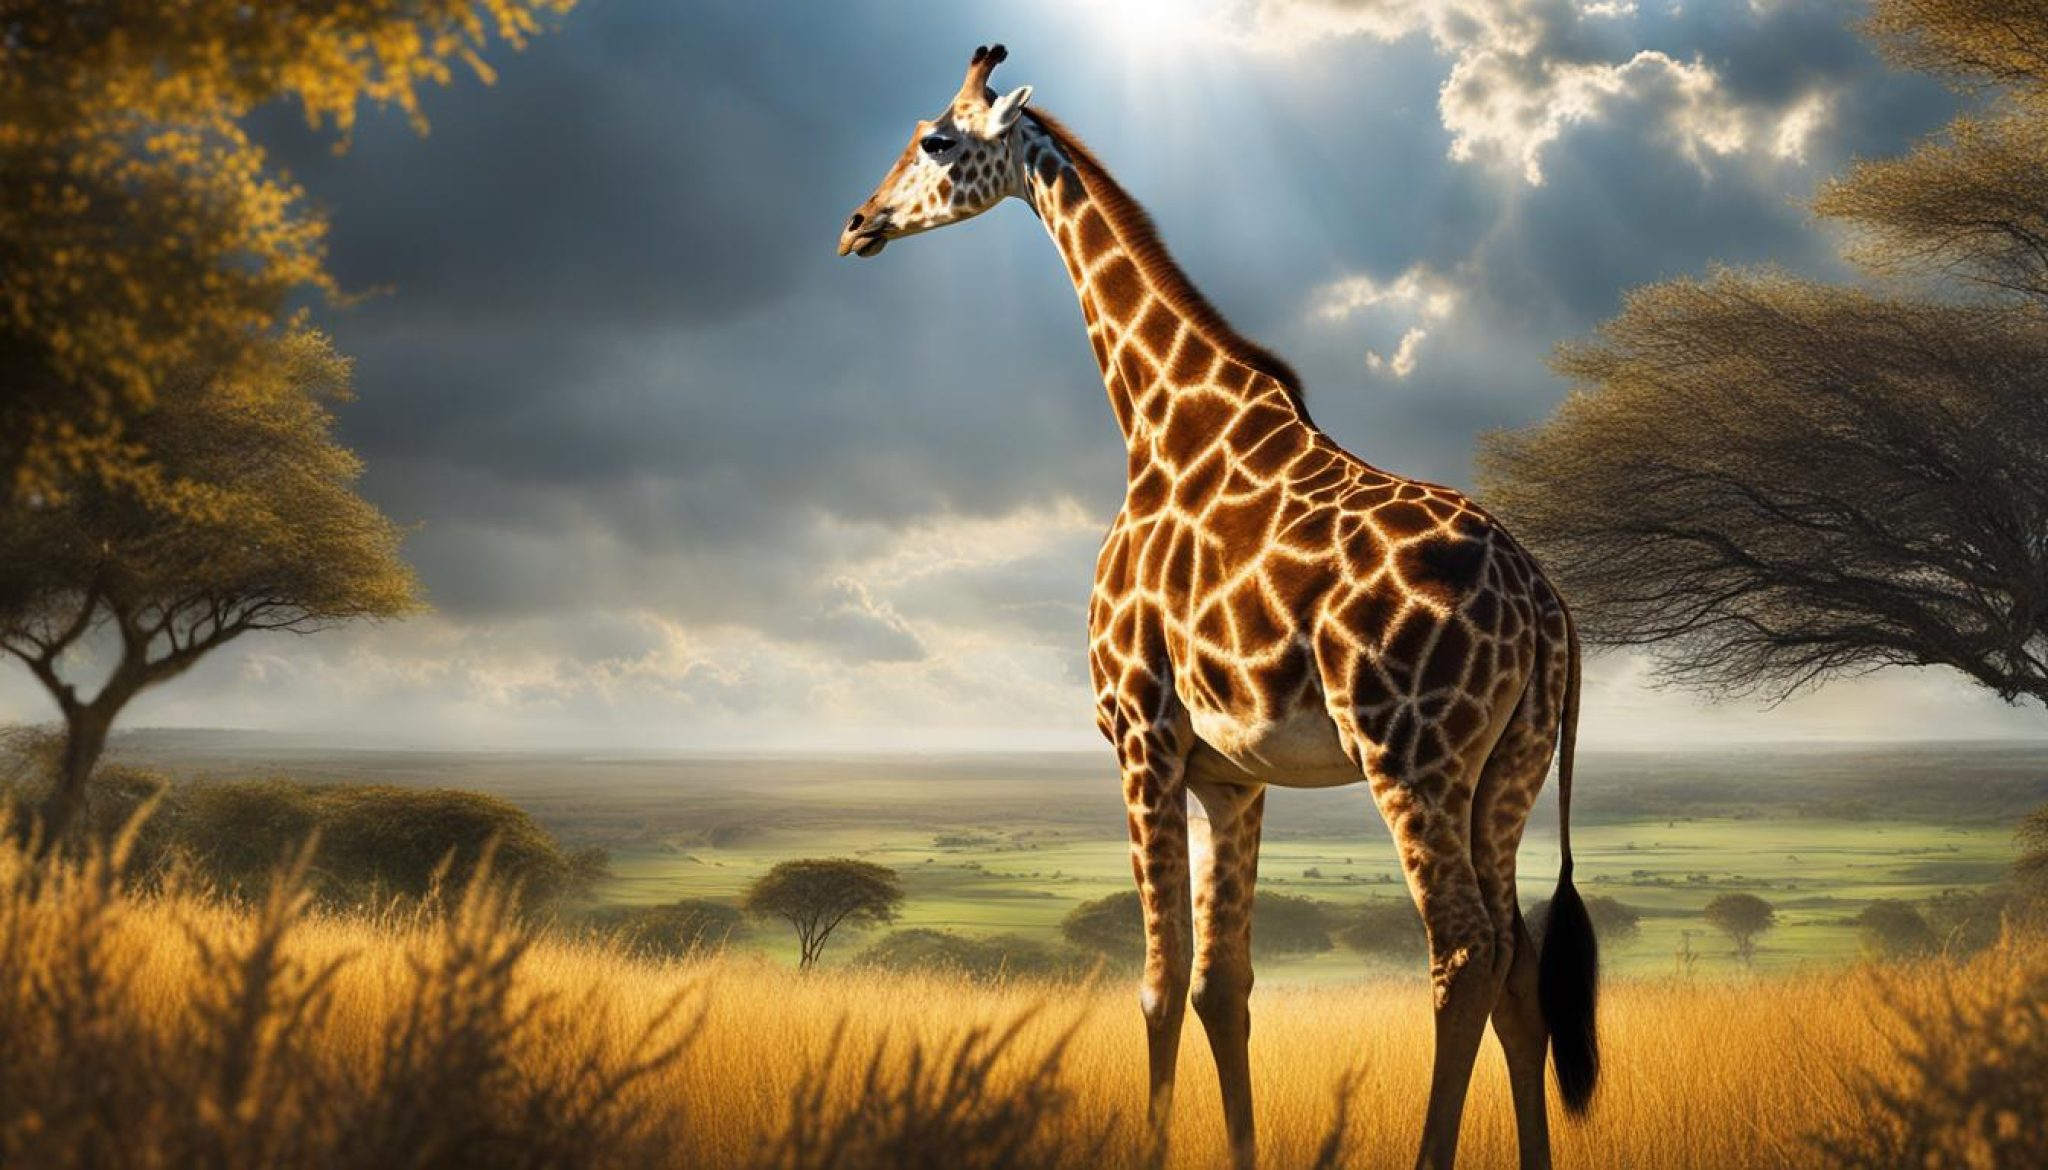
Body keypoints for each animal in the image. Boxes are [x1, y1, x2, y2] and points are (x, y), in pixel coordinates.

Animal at [838, 46, 1599, 1170]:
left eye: (934, 139)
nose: (858, 223)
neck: (1159, 424)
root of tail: (1548, 610)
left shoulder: (1139, 735)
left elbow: (1156, 990)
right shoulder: (1232, 776)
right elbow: (1221, 990)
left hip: (1412, 758)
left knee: (1461, 951)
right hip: (1508, 765)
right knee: (1515, 960)